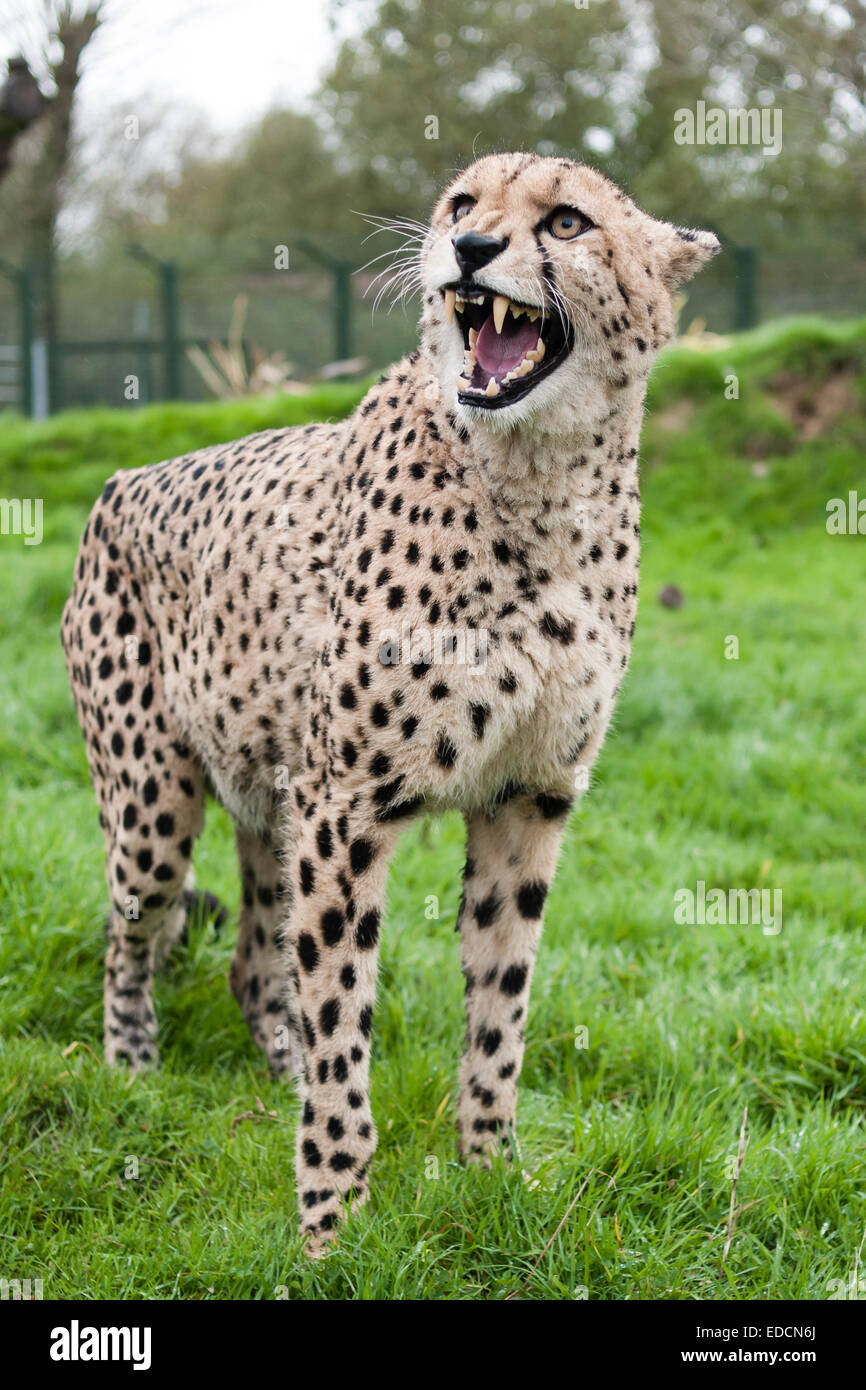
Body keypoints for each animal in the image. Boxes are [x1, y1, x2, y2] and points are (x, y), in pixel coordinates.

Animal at [61, 152, 719, 1256]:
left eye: (567, 221)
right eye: (462, 203)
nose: (469, 248)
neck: (540, 481)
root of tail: (121, 478)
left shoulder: (529, 797)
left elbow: (500, 1005)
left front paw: (491, 1172)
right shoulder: (350, 806)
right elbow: (343, 1022)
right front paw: (330, 1225)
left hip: (271, 801)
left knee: (255, 962)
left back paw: (270, 1065)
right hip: (154, 808)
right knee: (131, 938)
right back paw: (133, 1078)